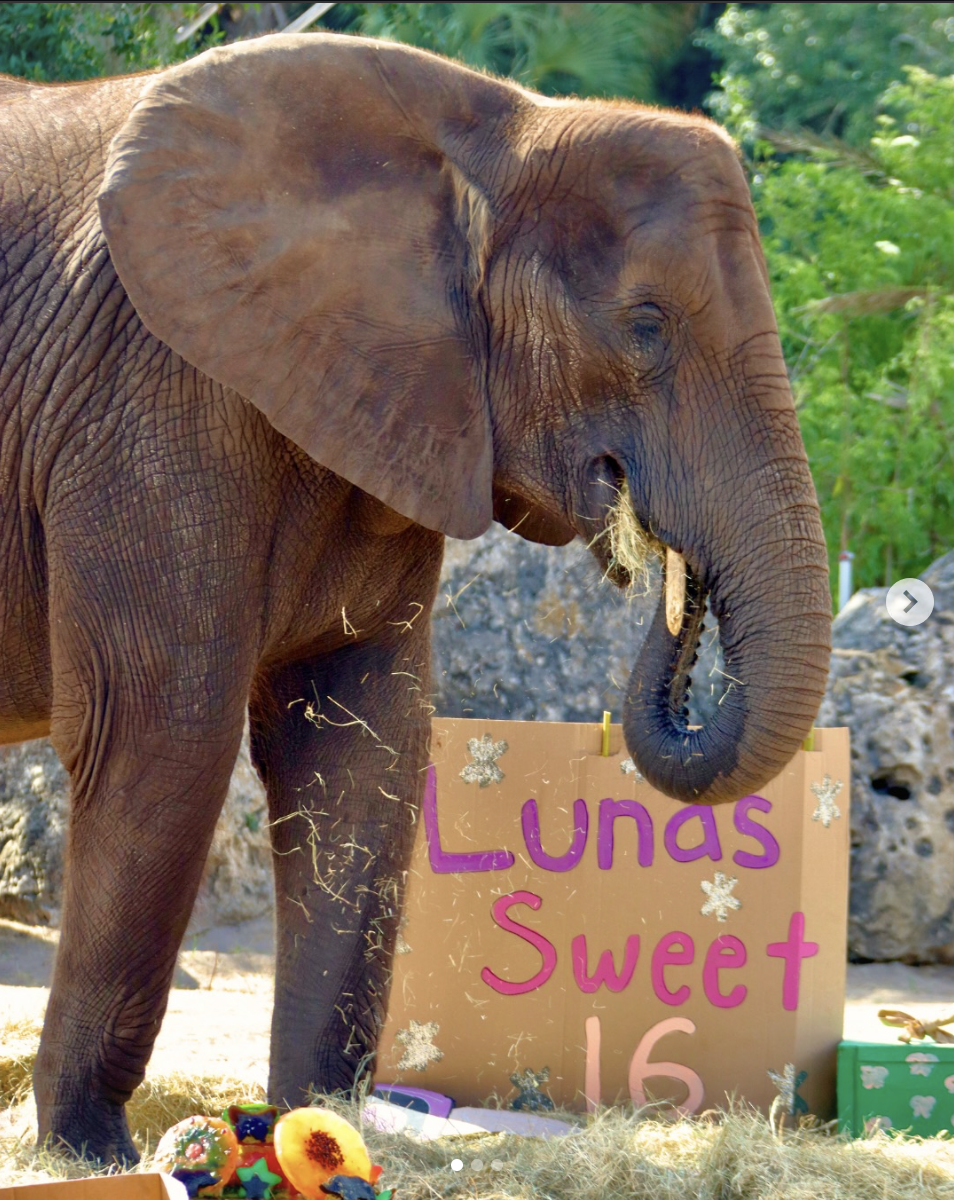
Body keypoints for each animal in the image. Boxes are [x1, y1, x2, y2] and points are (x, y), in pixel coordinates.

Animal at [0, 32, 831, 1162]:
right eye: (646, 324)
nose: (656, 557)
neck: (495, 133)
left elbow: (365, 740)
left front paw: (320, 1132)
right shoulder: (141, 398)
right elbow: (159, 730)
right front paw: (93, 1154)